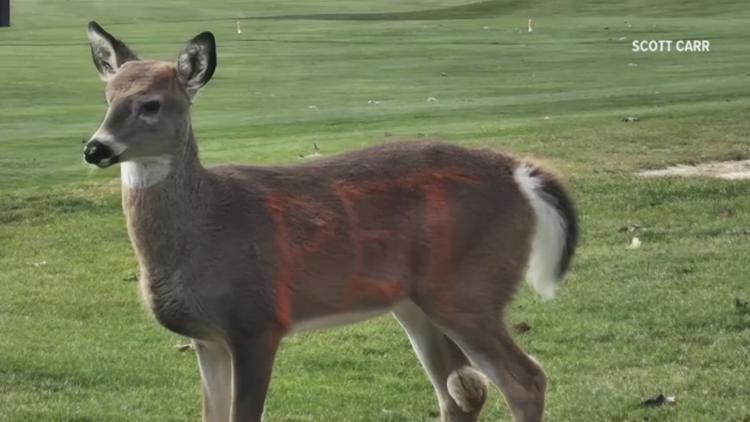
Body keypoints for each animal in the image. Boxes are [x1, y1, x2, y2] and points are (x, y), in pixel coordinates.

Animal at [82, 21, 578, 422]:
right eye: (107, 98)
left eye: (150, 104)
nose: (94, 147)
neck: (206, 228)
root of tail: (519, 171)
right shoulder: (208, 339)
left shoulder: (258, 320)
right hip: (415, 302)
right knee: (463, 392)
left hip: (469, 289)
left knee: (526, 381)